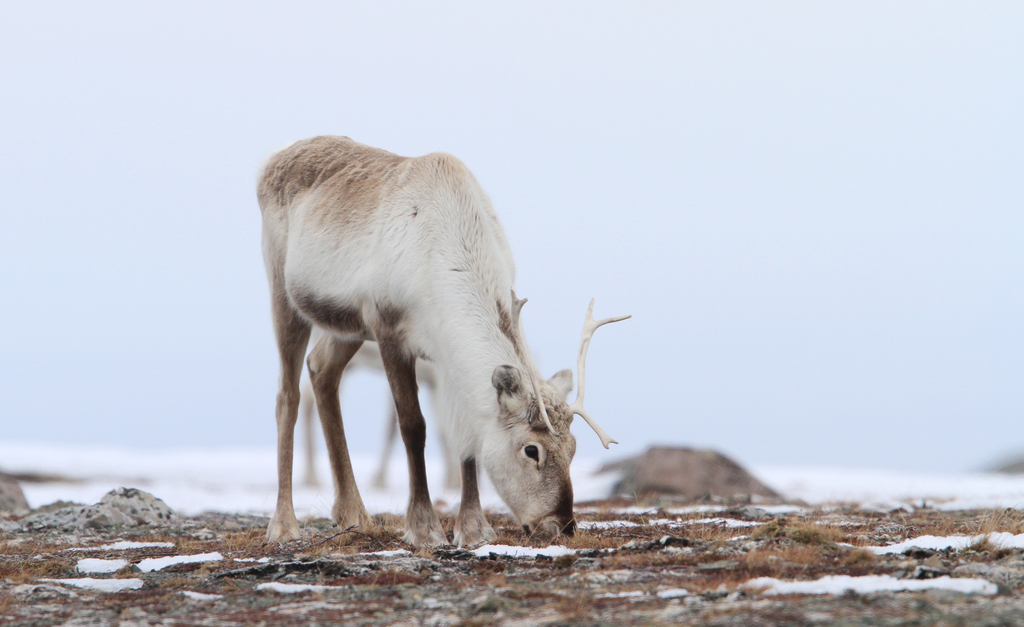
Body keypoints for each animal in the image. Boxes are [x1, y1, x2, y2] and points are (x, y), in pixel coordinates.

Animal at [258, 136, 628, 546]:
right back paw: (284, 524)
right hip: (284, 291)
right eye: (531, 450)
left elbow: (462, 433)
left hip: (347, 326)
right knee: (287, 397)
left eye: (574, 448)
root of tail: (273, 160)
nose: (562, 524)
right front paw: (424, 528)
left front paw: (473, 528)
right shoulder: (387, 327)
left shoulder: (445, 355)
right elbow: (412, 426)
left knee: (321, 370)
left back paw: (353, 513)